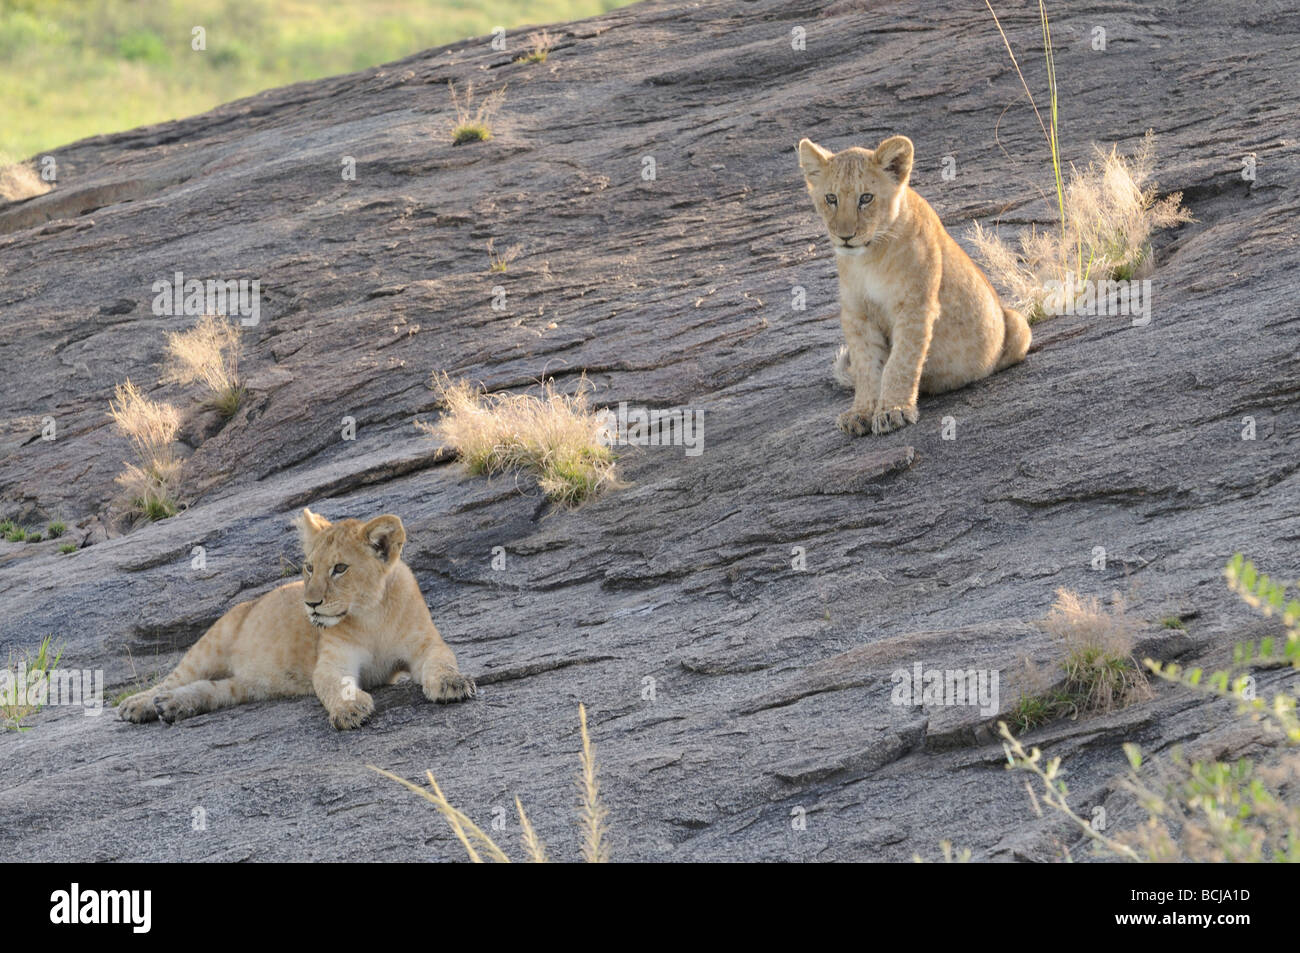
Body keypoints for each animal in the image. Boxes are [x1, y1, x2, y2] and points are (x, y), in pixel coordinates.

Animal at [118, 507, 475, 730]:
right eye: (309, 567)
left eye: (340, 568)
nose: (311, 604)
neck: (372, 615)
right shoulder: (332, 661)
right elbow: (335, 685)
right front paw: (350, 710)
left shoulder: (426, 645)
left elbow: (442, 661)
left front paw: (453, 684)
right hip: (210, 645)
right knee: (171, 679)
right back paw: (139, 705)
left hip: (246, 686)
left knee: (210, 689)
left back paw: (173, 705)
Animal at [797, 135, 1031, 436]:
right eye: (831, 198)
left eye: (866, 198)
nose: (845, 237)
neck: (869, 258)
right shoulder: (857, 314)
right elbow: (866, 366)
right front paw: (860, 413)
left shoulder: (915, 307)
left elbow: (900, 362)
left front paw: (892, 411)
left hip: (1018, 324)